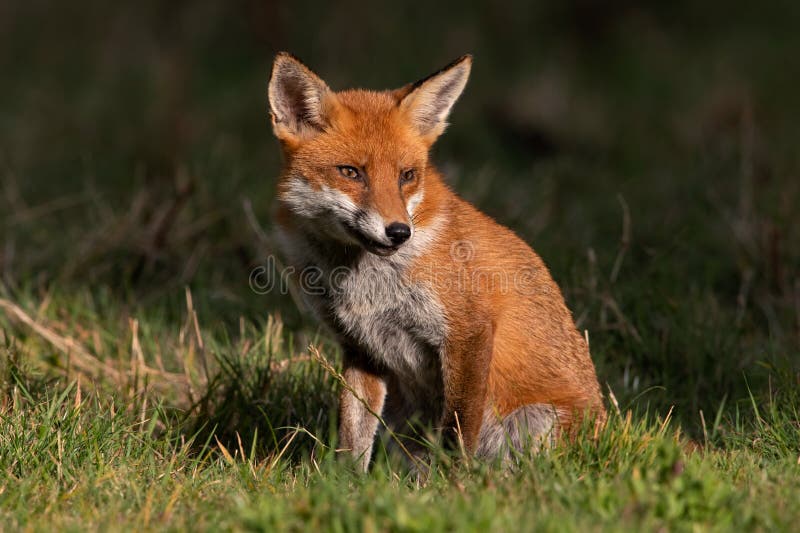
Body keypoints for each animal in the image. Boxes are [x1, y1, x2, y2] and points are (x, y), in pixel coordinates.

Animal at [266, 52, 605, 471]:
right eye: (351, 172)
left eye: (407, 176)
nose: (398, 232)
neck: (365, 281)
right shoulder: (361, 347)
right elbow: (354, 433)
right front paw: (345, 482)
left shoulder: (468, 331)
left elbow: (458, 429)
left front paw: (453, 482)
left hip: (533, 422)